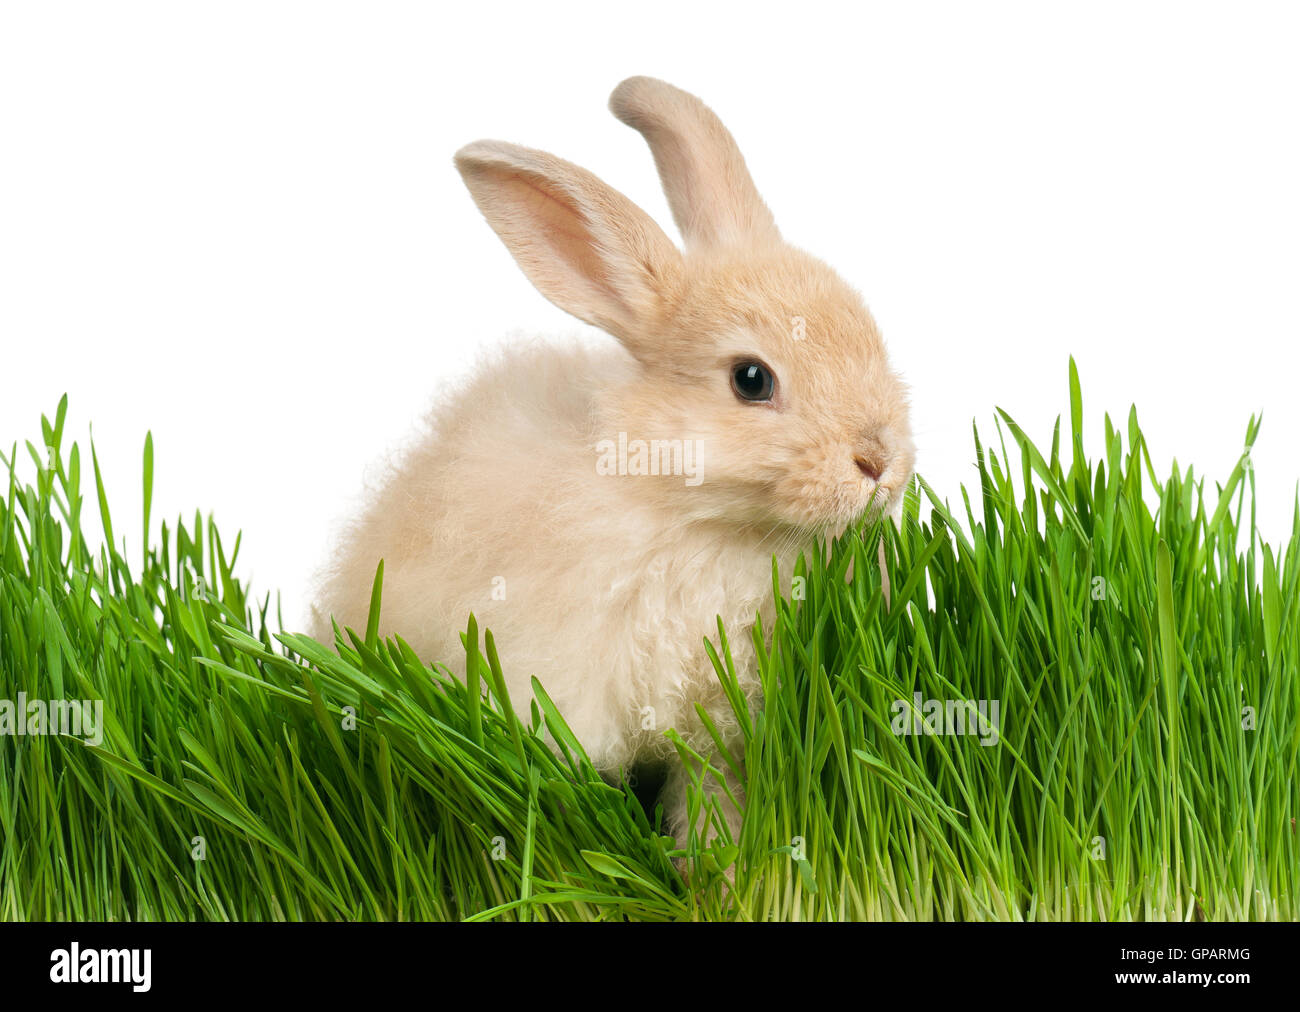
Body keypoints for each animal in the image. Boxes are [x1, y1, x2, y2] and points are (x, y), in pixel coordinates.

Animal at [311, 76, 915, 861]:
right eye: (751, 379)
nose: (881, 460)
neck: (688, 508)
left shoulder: (715, 728)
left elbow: (712, 794)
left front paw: (716, 868)